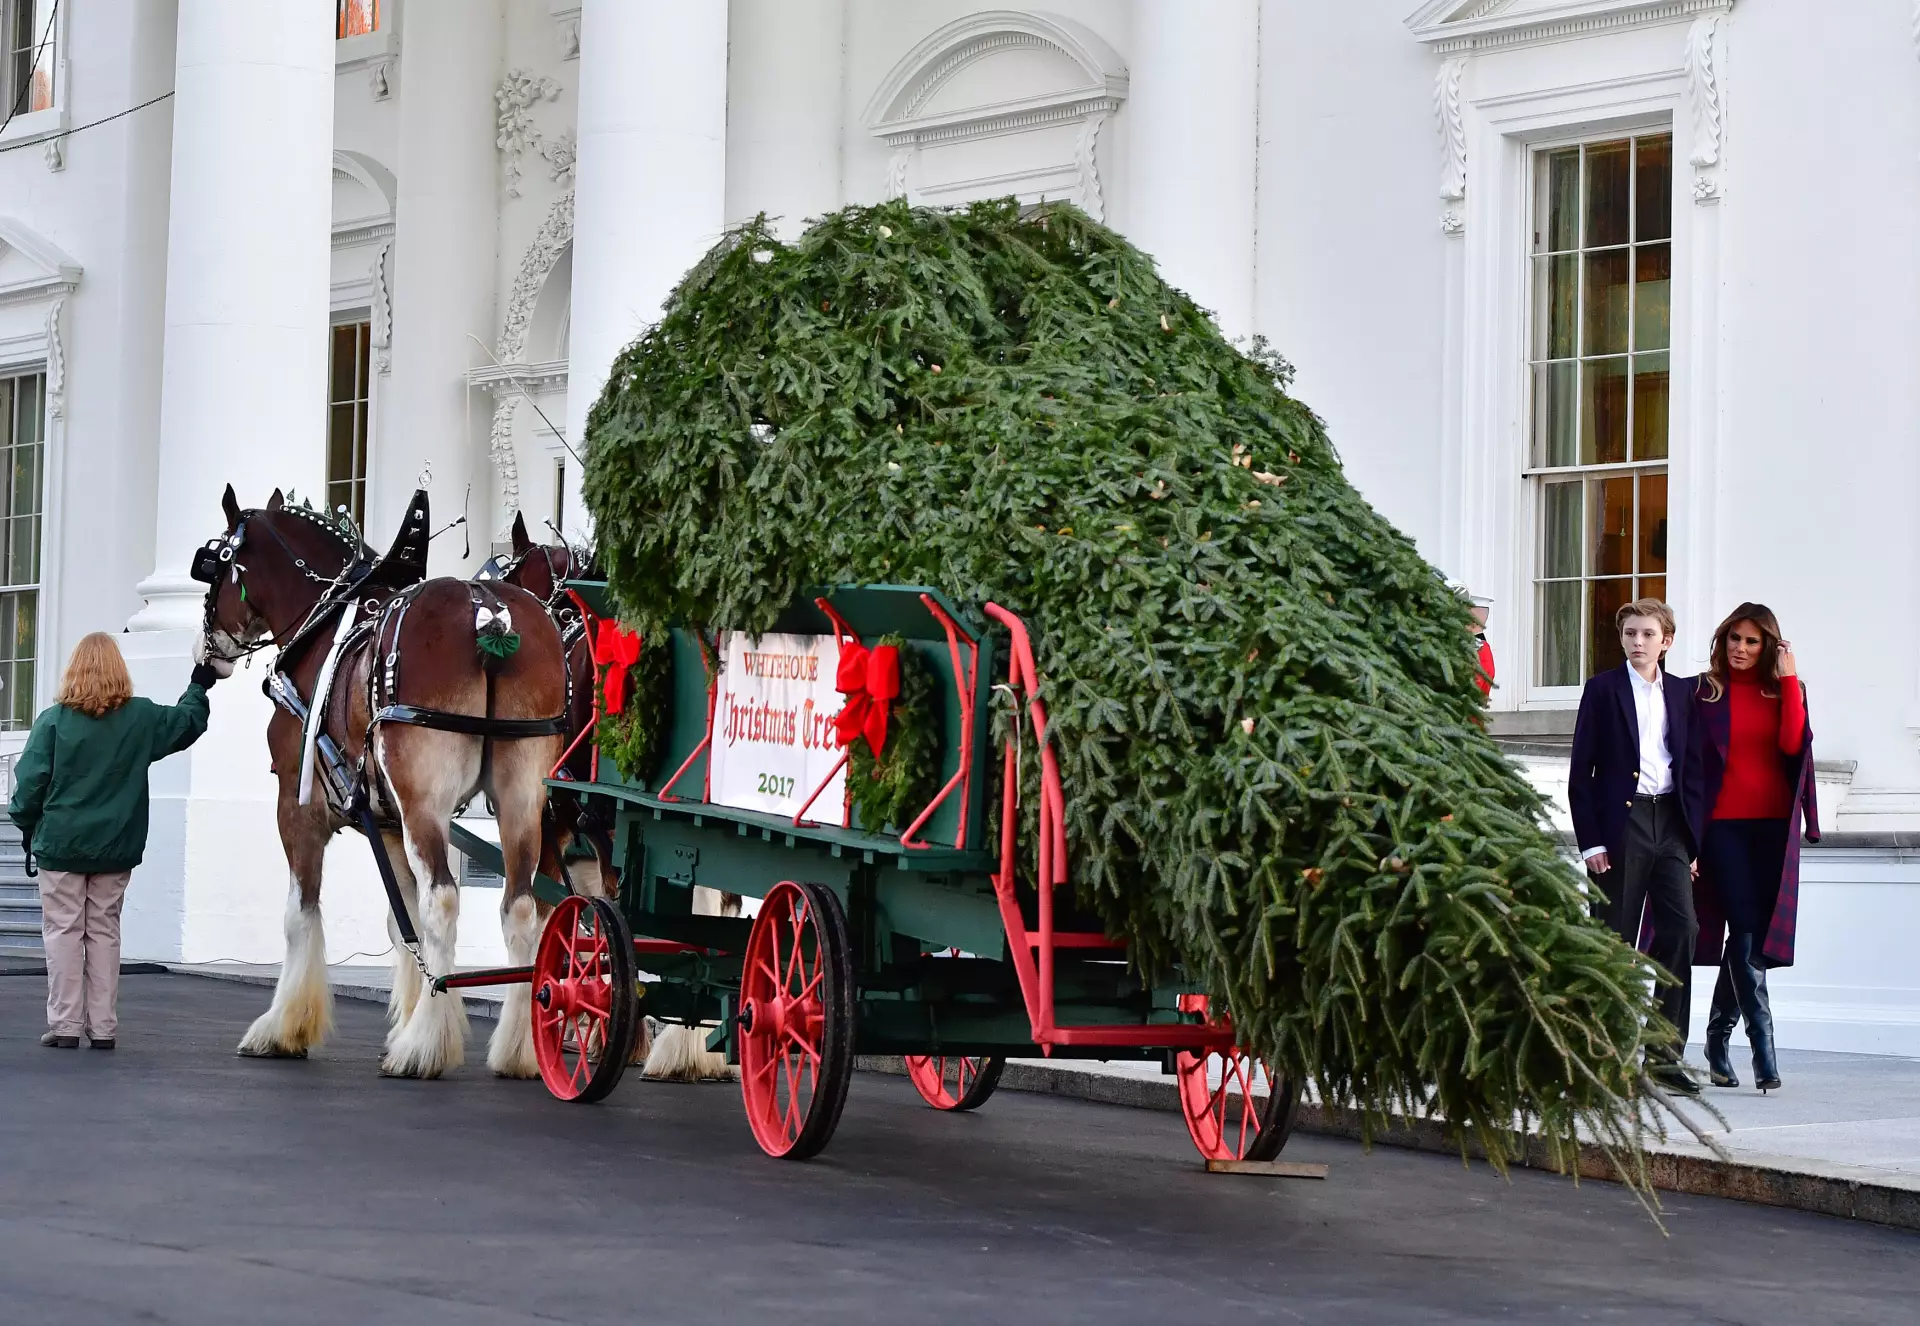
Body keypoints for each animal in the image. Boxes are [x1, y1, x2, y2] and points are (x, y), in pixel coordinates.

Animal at [196, 487, 568, 1082]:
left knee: (446, 901)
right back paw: (519, 1049)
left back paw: (423, 1049)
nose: (206, 652)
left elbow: (301, 913)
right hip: (521, 794)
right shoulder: (389, 822)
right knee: (521, 907)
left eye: (212, 567)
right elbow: (403, 921)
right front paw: (414, 1014)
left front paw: (284, 1026)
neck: (325, 625)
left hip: (428, 803)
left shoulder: (297, 805)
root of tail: (489, 610)